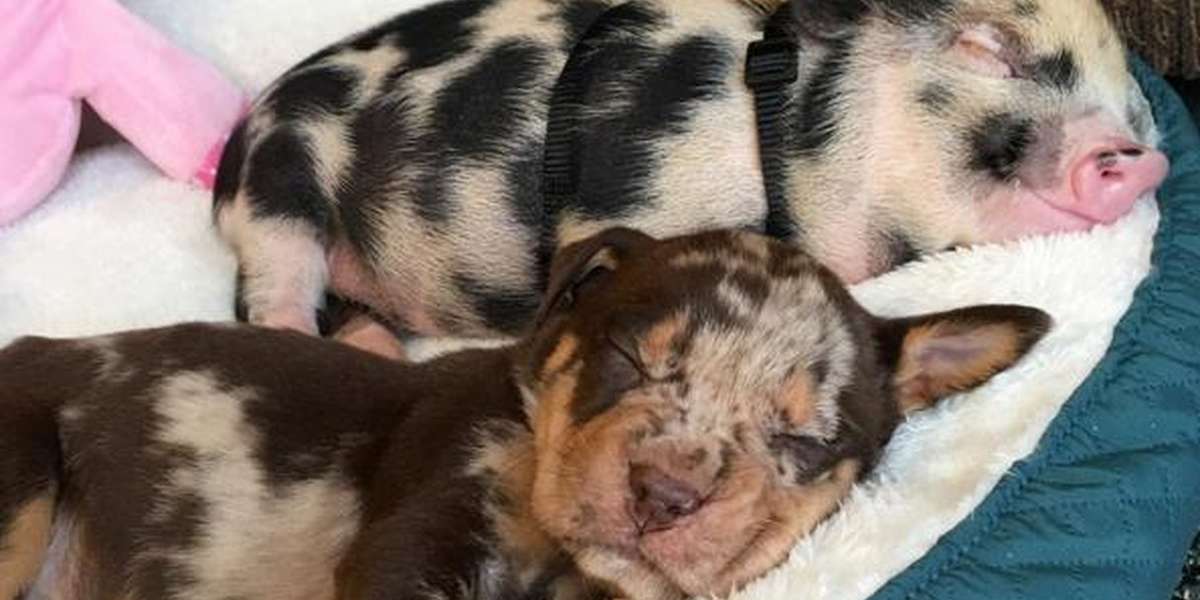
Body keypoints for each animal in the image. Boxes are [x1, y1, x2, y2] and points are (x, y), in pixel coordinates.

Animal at [213, 0, 1168, 340]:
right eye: (987, 48)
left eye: (1134, 105)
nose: (1144, 158)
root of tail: (234, 146)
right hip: (279, 196)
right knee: (275, 293)